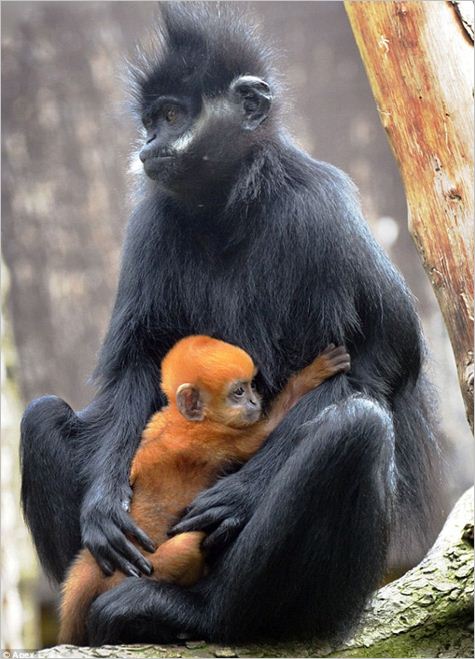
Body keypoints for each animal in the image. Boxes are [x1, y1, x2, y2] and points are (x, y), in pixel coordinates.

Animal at [58, 336, 350, 645]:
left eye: (251, 386)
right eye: (238, 392)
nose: (254, 400)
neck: (184, 418)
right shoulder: (217, 436)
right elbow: (265, 430)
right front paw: (315, 372)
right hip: (156, 563)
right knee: (188, 545)